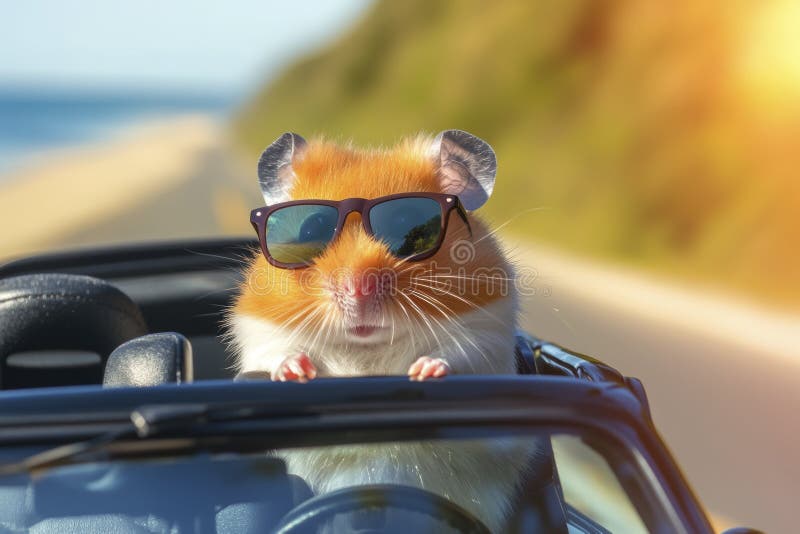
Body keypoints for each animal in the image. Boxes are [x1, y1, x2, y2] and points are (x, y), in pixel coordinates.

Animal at [227, 130, 535, 532]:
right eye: (310, 229)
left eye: (406, 222)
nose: (358, 288)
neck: (367, 349)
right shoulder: (259, 333)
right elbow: (276, 353)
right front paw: (298, 372)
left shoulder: (487, 333)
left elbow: (455, 354)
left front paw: (423, 371)